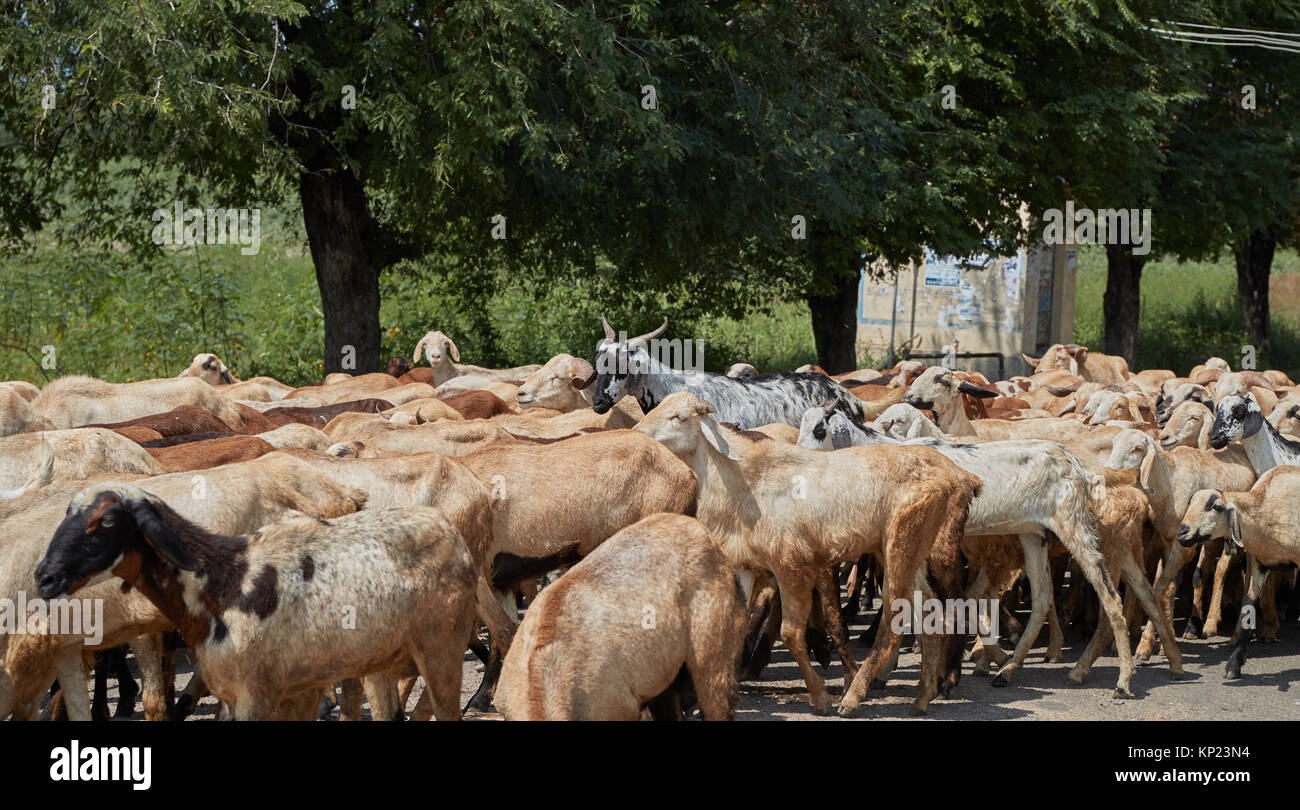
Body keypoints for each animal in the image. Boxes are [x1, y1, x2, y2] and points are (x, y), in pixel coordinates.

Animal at [35, 491, 476, 720]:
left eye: (107, 521)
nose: (44, 577)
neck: (222, 582)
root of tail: (451, 531)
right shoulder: (259, 694)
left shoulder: (257, 695)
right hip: (384, 657)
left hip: (442, 647)